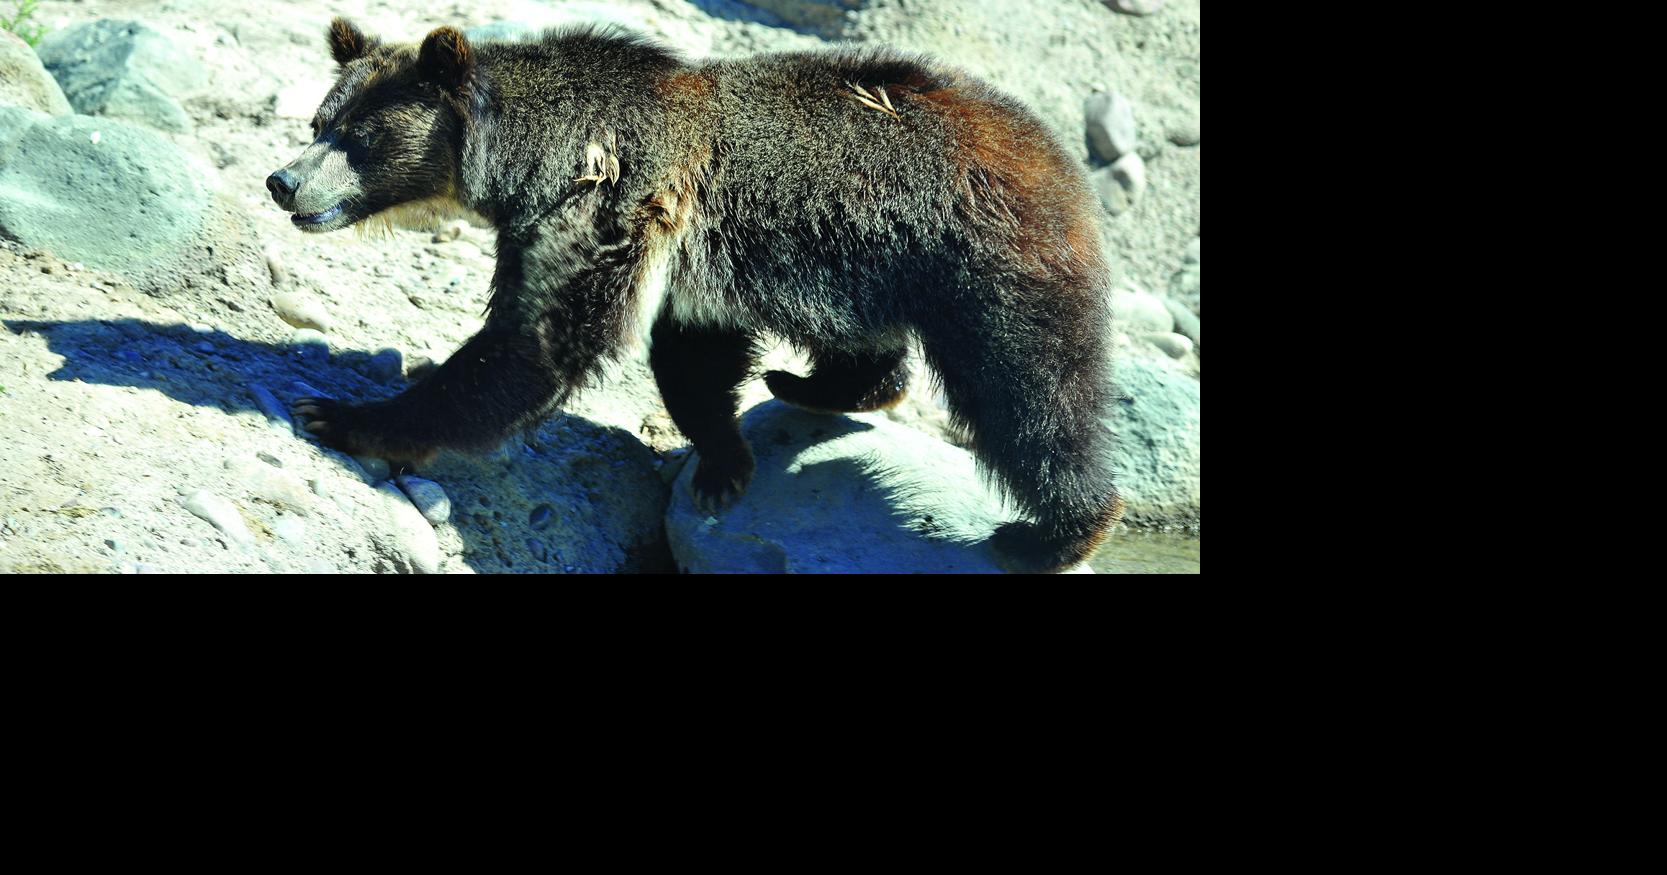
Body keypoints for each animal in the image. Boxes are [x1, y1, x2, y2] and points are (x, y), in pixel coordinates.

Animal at [271, 18, 1124, 573]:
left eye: (360, 137)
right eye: (319, 120)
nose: (283, 182)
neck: (528, 159)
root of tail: (1060, 160)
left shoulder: (613, 196)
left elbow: (538, 341)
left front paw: (345, 414)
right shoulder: (688, 258)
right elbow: (690, 357)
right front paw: (723, 461)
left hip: (984, 263)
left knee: (1028, 393)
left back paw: (1056, 530)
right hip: (862, 260)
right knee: (873, 345)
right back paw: (813, 383)